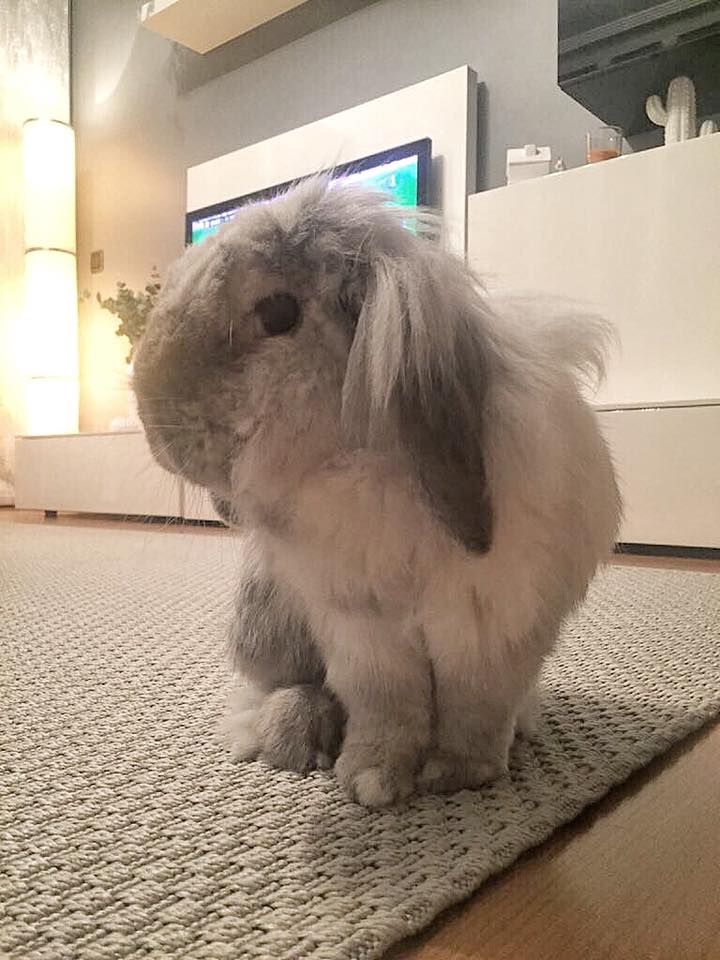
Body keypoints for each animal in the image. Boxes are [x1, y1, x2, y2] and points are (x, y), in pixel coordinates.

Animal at [133, 177, 621, 808]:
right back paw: (294, 738)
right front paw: (370, 779)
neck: (355, 464)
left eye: (278, 312)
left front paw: (458, 775)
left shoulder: (490, 622)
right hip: (269, 621)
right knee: (280, 685)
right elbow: (387, 706)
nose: (154, 429)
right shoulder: (360, 626)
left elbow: (474, 705)